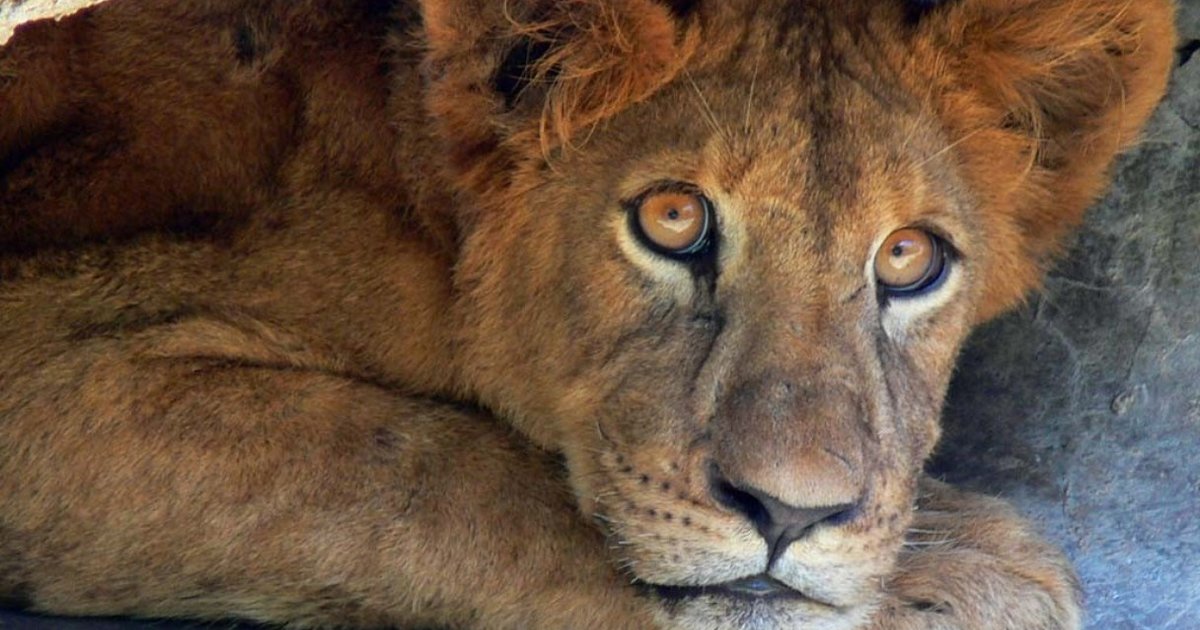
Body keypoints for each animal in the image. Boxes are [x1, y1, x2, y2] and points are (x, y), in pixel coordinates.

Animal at [0, 0, 1176, 628]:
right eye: (672, 218)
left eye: (907, 256)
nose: (789, 514)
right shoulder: (43, 356)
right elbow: (416, 465)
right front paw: (960, 571)